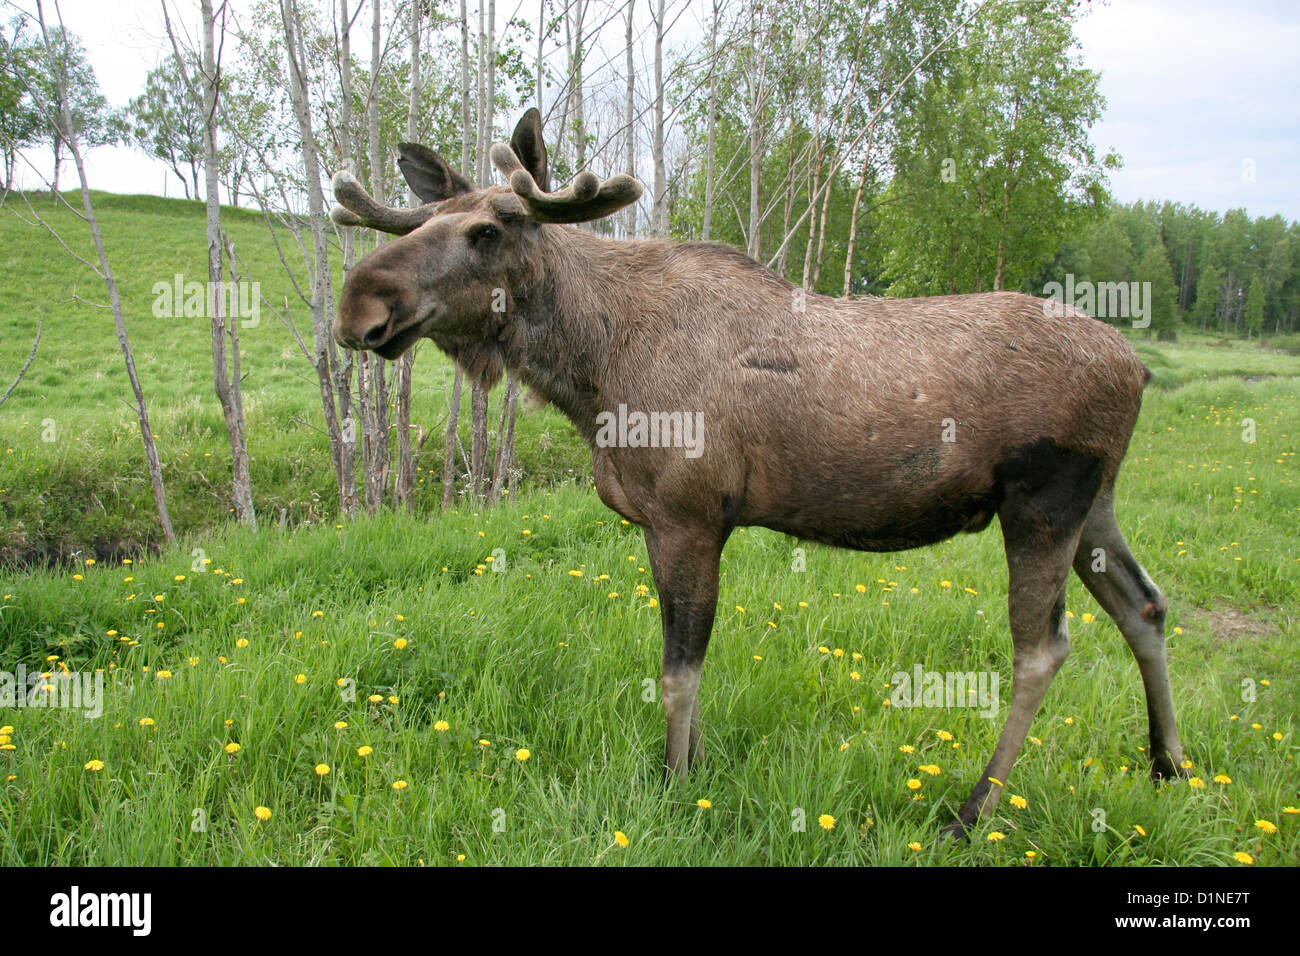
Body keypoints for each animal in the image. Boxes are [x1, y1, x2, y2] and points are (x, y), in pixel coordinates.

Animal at [328, 109, 1185, 837]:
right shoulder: (681, 525)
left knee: (1042, 649)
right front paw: (700, 769)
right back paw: (1167, 765)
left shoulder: (687, 515)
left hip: (1043, 500)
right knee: (1144, 604)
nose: (357, 306)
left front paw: (674, 784)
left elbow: (678, 671)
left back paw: (974, 810)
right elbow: (686, 666)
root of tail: (1138, 367)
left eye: (484, 231)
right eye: (420, 222)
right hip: (1095, 500)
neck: (590, 370)